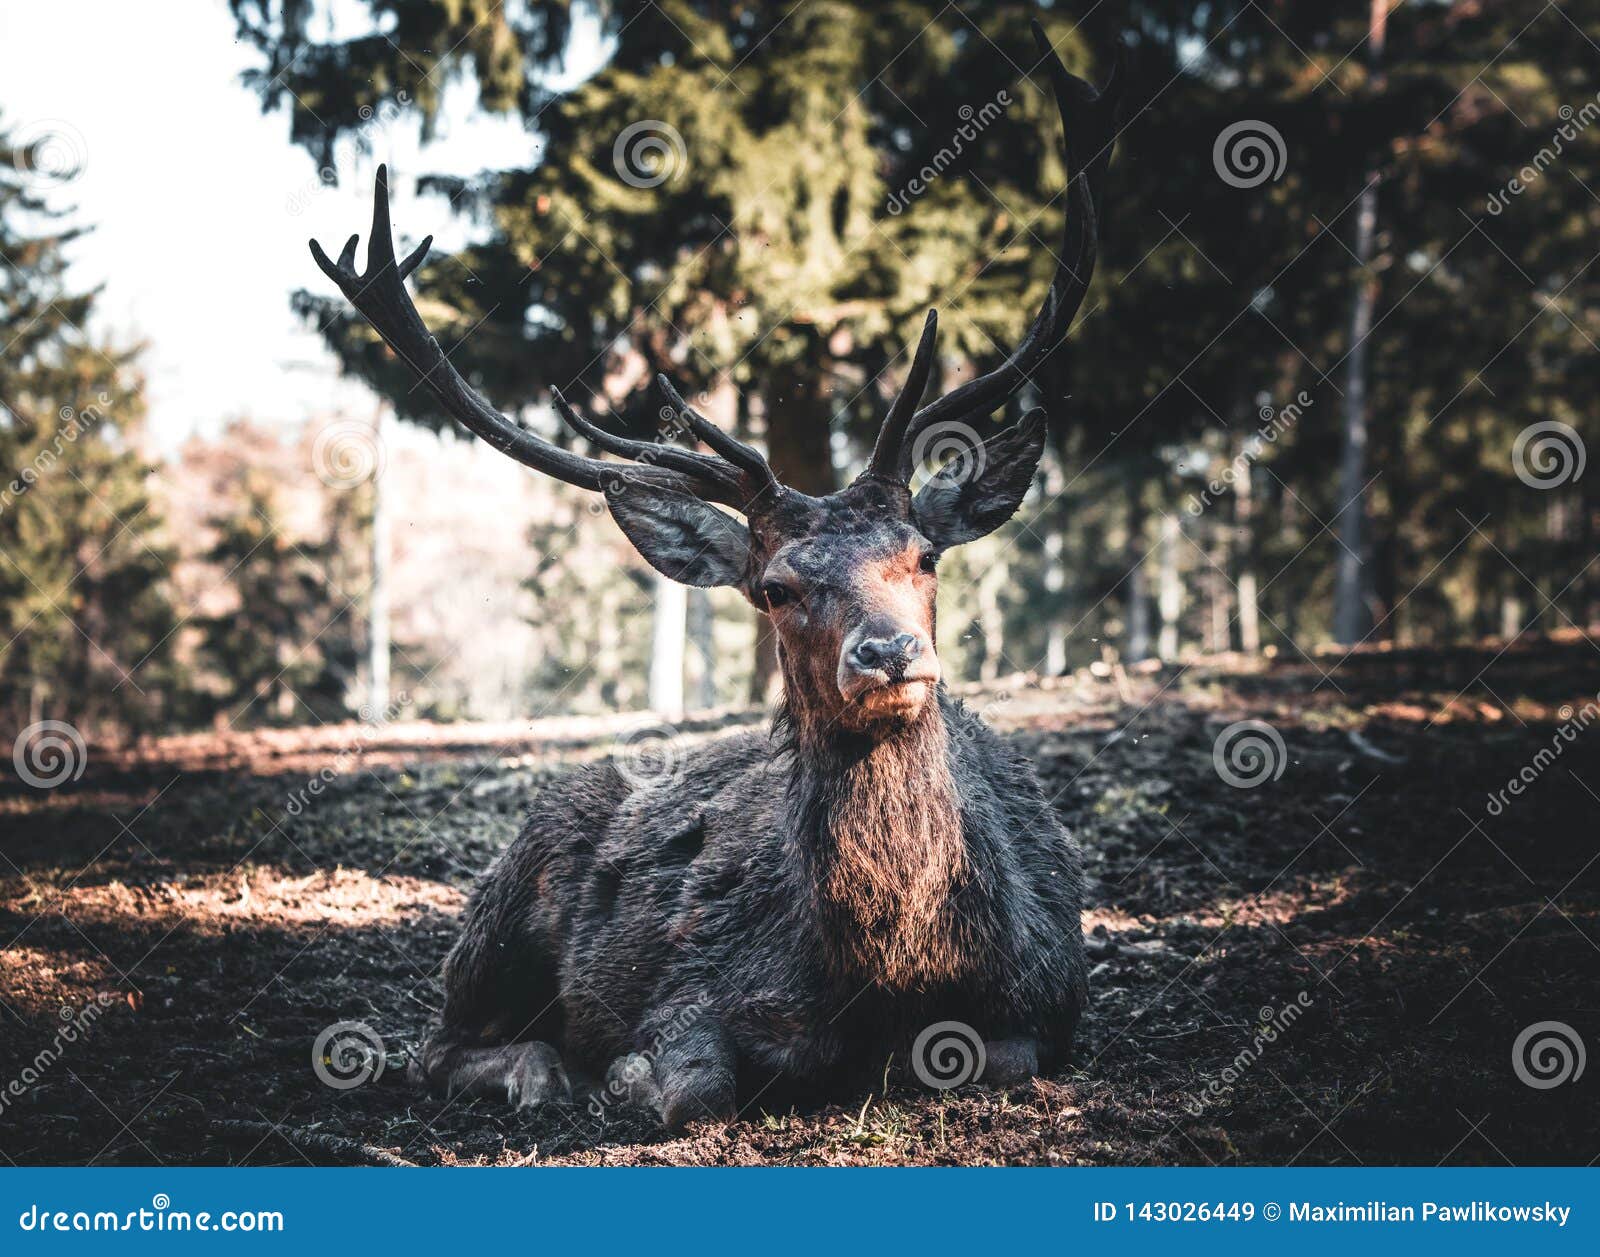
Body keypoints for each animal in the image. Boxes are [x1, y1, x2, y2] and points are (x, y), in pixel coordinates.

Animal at [309, 21, 1118, 1132]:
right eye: (774, 586)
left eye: (924, 555)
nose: (889, 653)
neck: (890, 976)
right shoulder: (690, 986)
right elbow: (690, 1082)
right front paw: (619, 1074)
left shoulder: (1052, 996)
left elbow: (987, 1056)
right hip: (514, 882)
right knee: (435, 1042)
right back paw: (540, 1071)